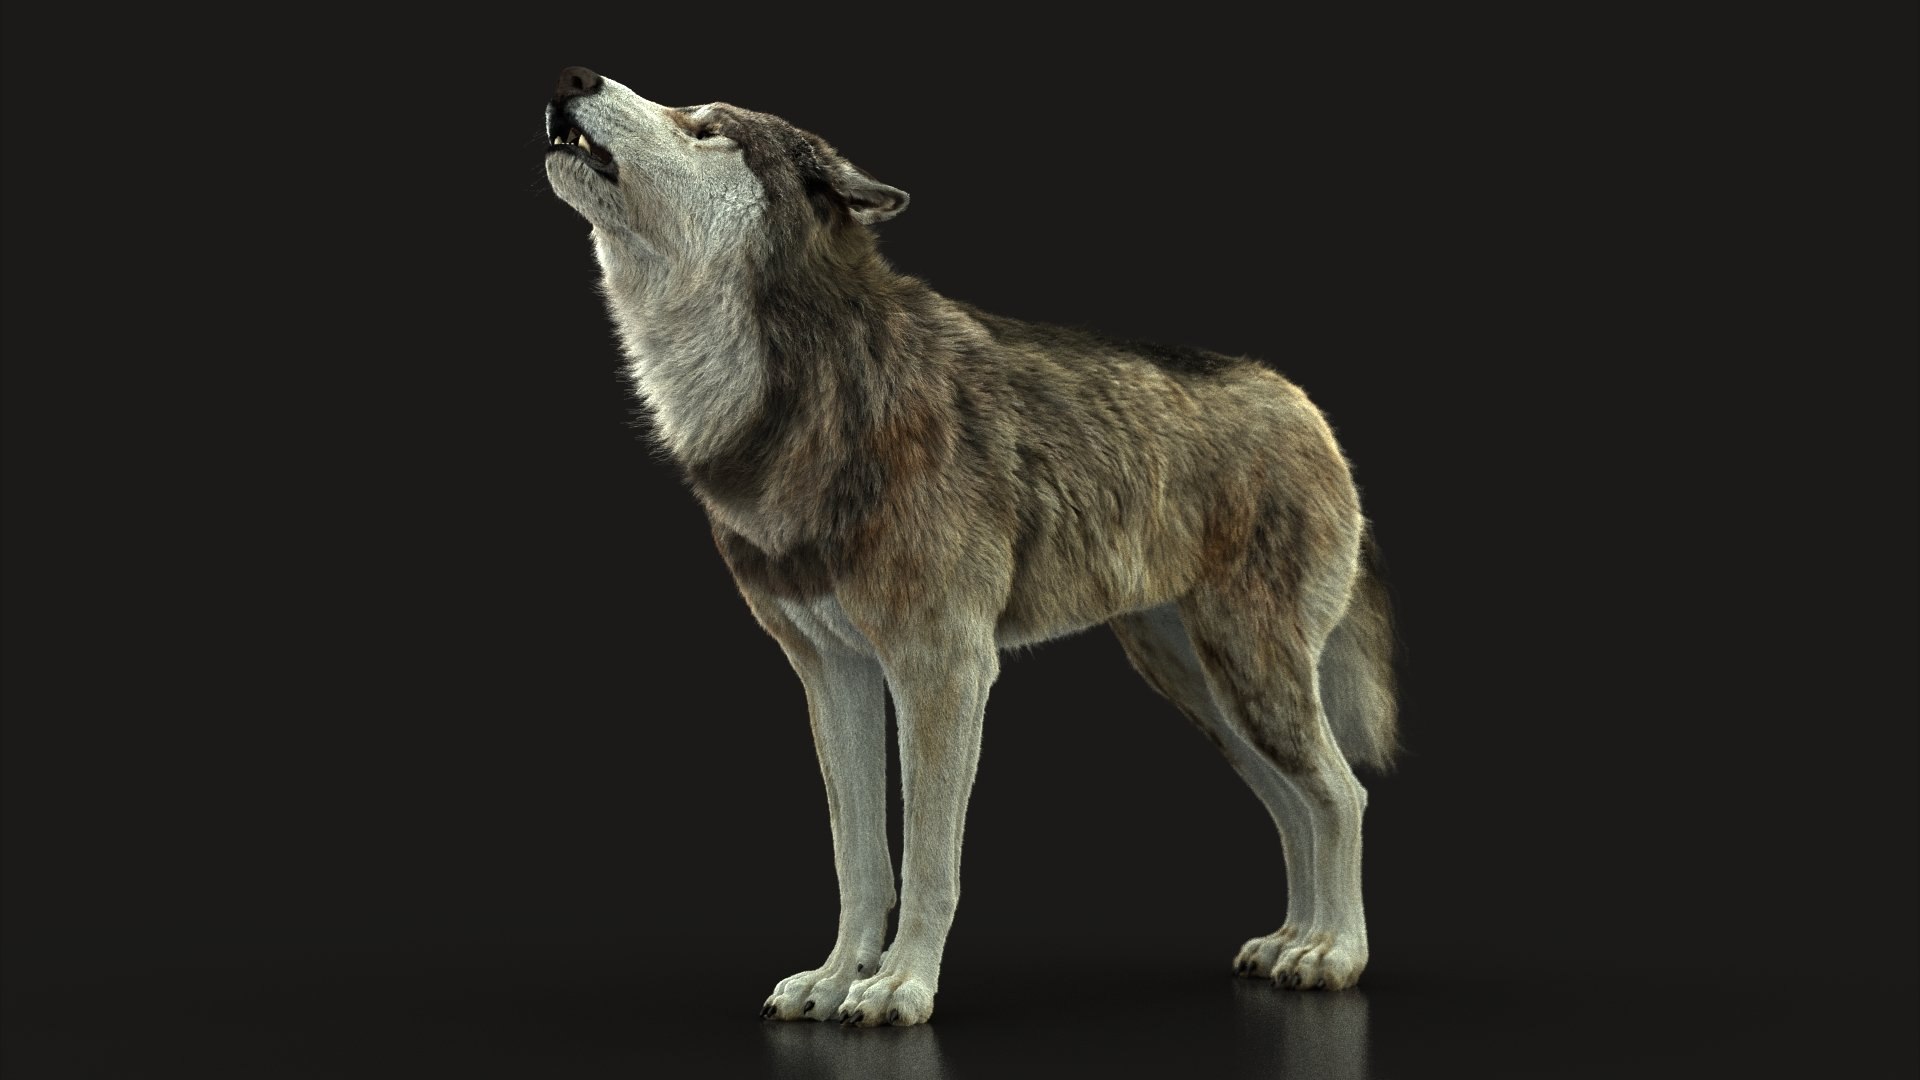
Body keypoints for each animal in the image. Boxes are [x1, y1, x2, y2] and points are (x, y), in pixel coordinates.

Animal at [542, 66, 1397, 1027]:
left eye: (707, 129)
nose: (573, 76)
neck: (804, 390)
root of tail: (1305, 406)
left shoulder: (943, 667)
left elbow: (926, 860)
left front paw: (901, 986)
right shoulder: (831, 671)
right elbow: (858, 857)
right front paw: (835, 977)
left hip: (1247, 677)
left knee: (1344, 793)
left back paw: (1335, 954)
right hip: (1203, 691)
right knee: (1297, 805)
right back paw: (1292, 941)